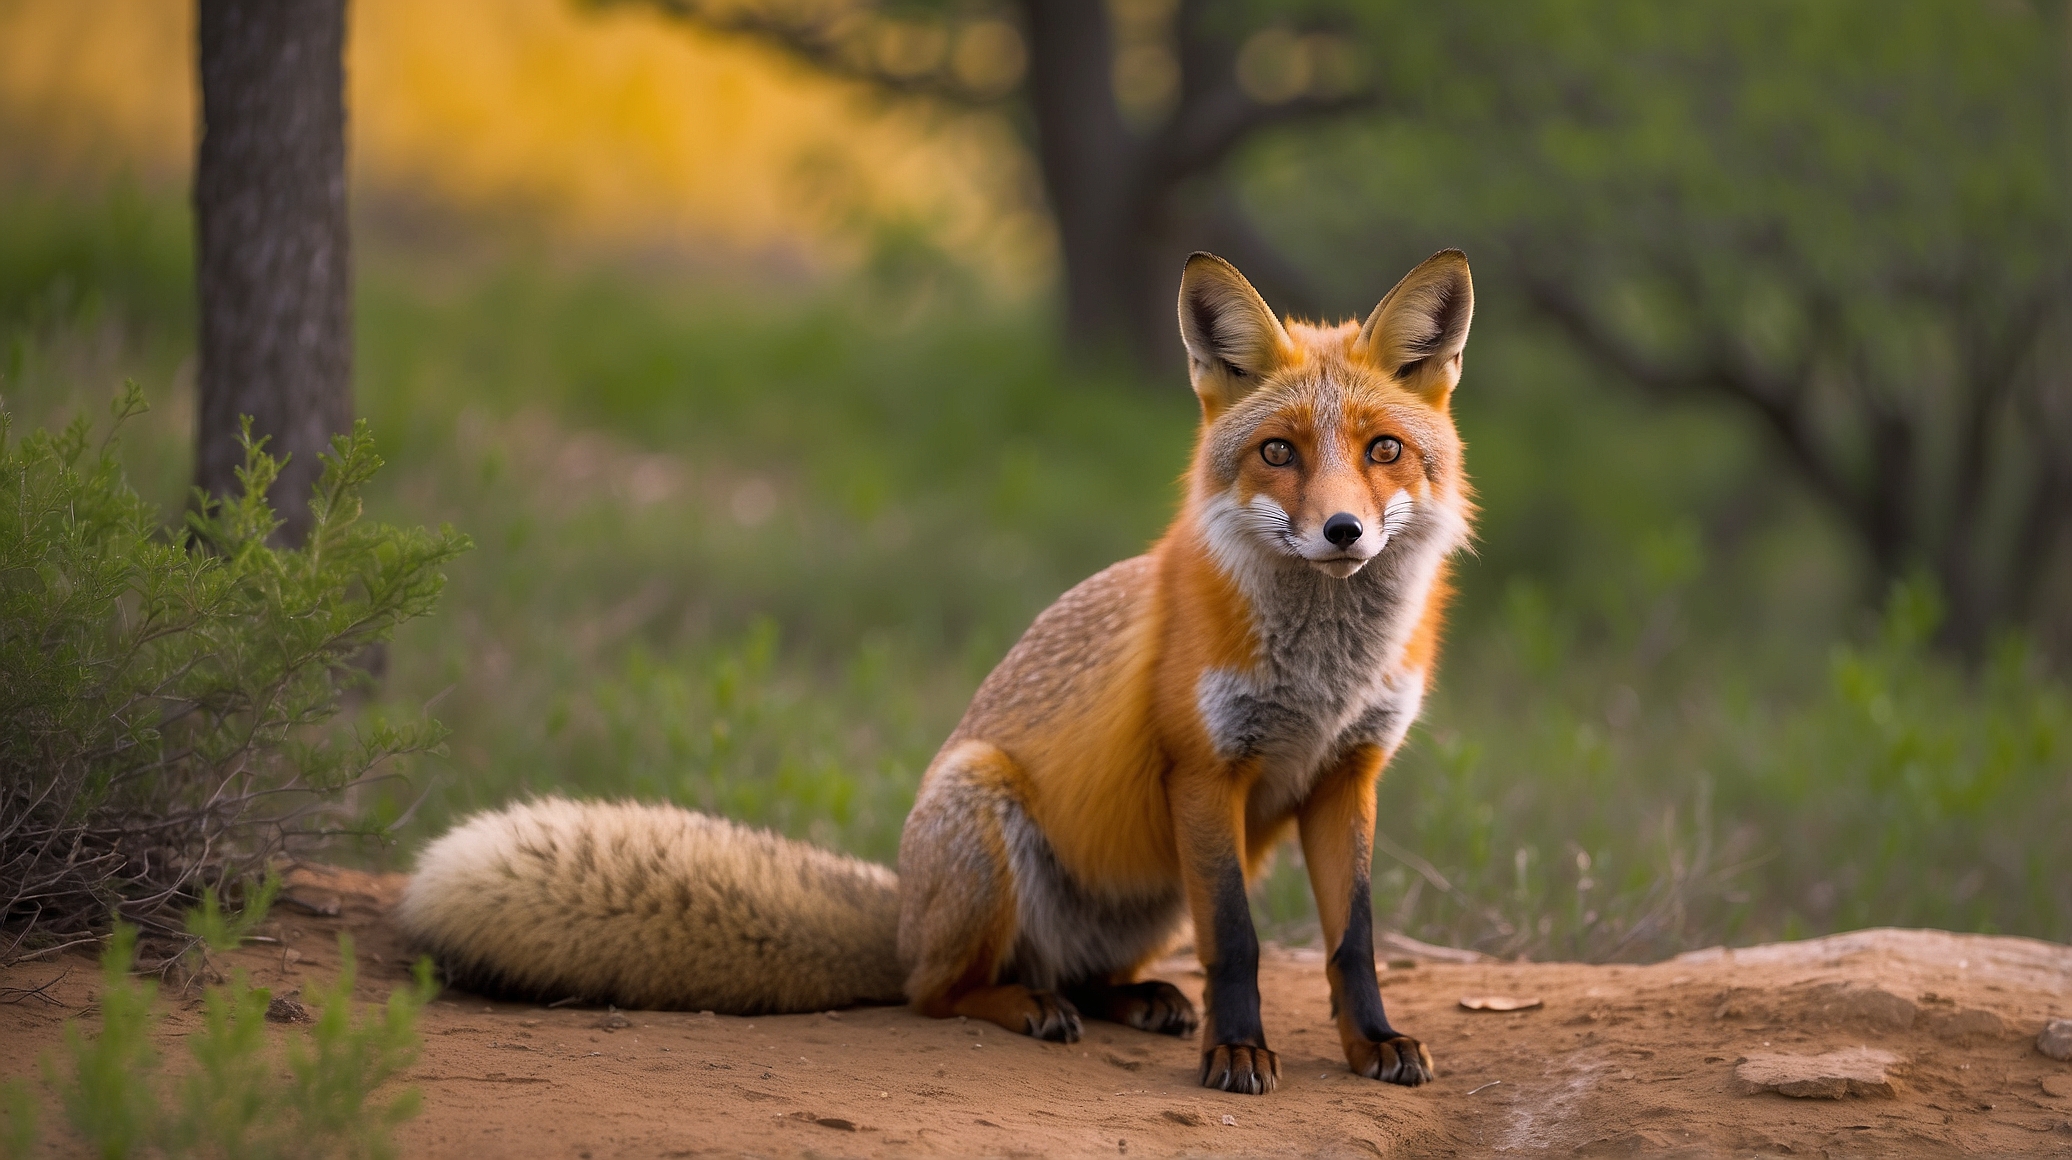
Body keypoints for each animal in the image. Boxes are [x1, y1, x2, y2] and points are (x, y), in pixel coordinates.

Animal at [396, 248, 1476, 1095]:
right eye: (1279, 452)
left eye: (1383, 449)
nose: (1343, 531)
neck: (1324, 673)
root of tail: (903, 915)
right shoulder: (1208, 770)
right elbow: (1244, 945)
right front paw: (1240, 1052)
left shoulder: (1347, 773)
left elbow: (1353, 941)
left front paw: (1371, 1043)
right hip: (984, 810)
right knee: (936, 992)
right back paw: (1028, 1003)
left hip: (1154, 894)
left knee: (1081, 974)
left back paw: (1135, 998)